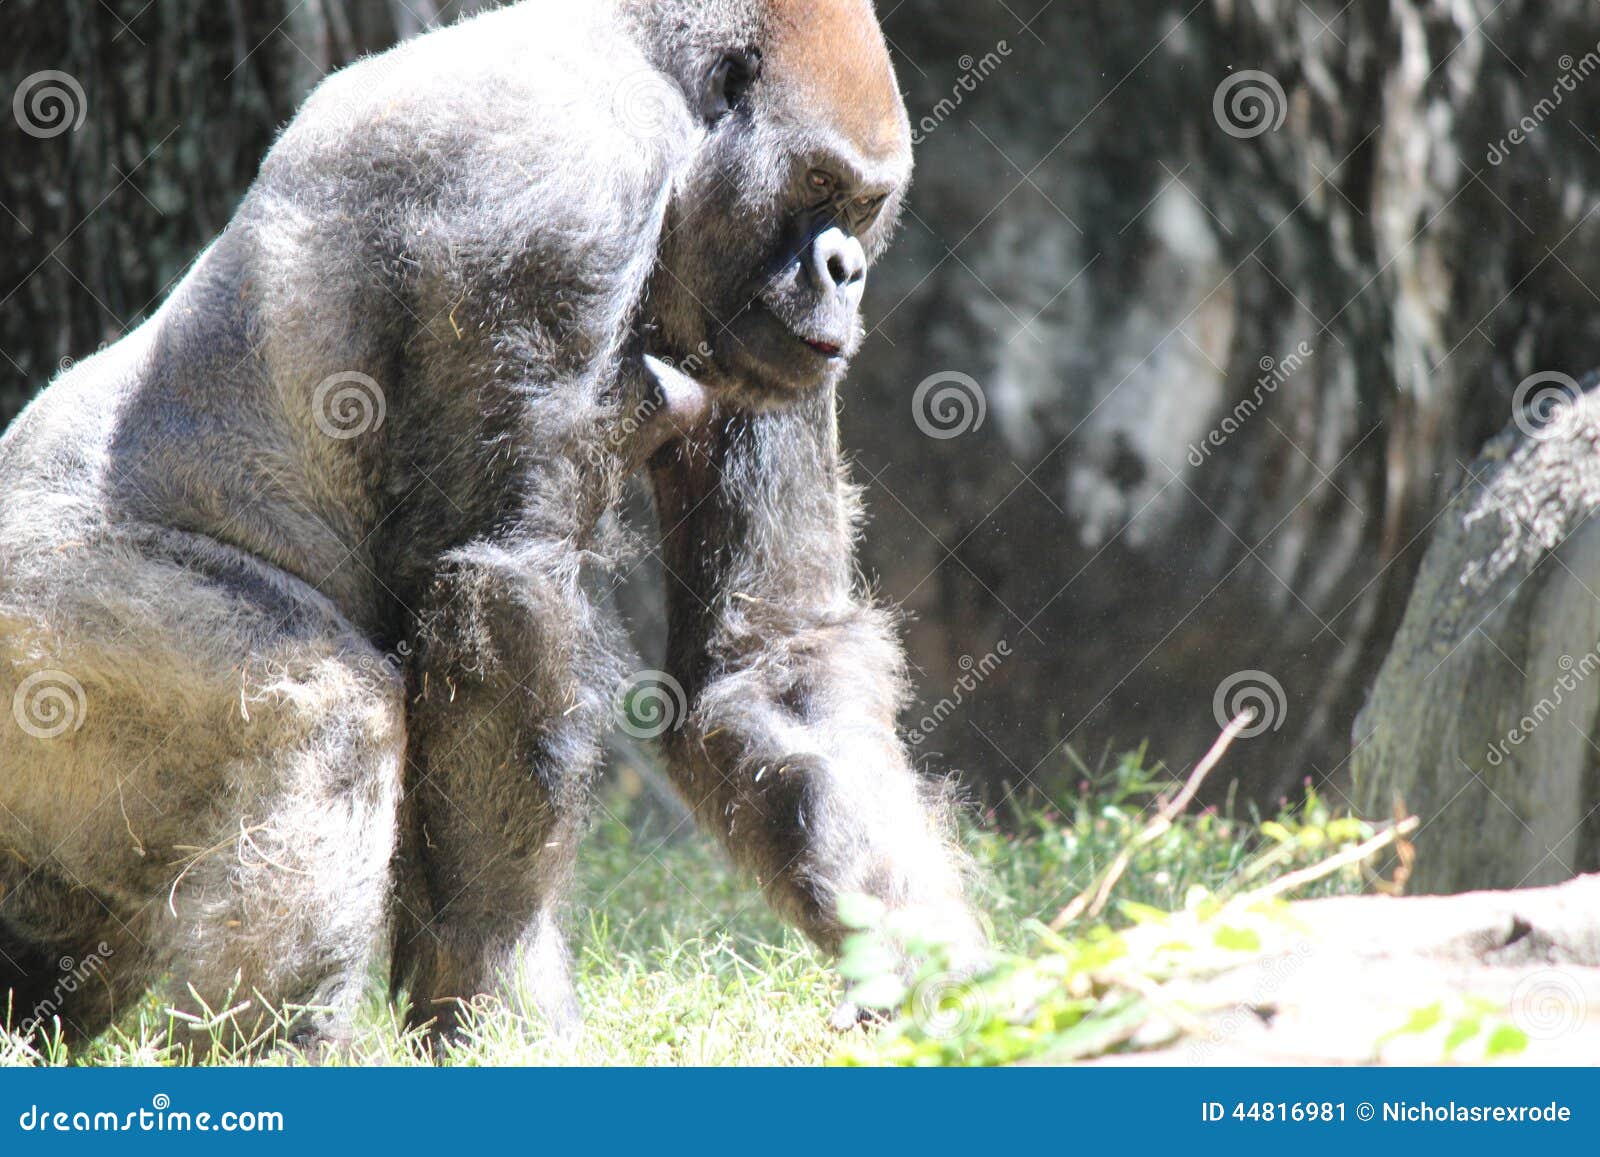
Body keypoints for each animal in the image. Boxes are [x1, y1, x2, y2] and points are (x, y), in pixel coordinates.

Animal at [0, 0, 983, 1055]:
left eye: (866, 203)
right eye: (818, 184)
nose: (846, 270)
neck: (654, 82)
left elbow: (768, 657)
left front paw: (933, 973)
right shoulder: (555, 192)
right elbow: (508, 589)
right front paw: (493, 991)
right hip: (32, 624)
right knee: (334, 715)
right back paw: (273, 1052)